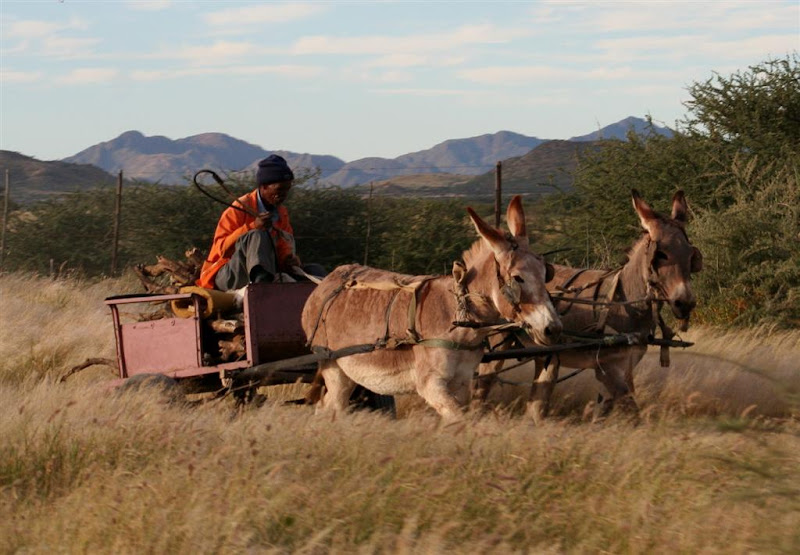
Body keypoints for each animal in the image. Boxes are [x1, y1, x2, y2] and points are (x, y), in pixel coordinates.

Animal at [300, 195, 562, 420]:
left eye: (546, 273)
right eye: (518, 278)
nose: (554, 329)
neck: (457, 318)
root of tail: (326, 281)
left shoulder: (462, 382)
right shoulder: (430, 384)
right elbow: (459, 419)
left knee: (327, 407)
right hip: (334, 367)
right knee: (332, 406)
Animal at [476, 189, 703, 422]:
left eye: (691, 255)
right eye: (661, 254)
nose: (685, 303)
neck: (624, 302)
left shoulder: (624, 365)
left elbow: (603, 411)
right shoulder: (609, 367)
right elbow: (631, 407)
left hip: (544, 352)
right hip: (497, 345)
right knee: (483, 384)